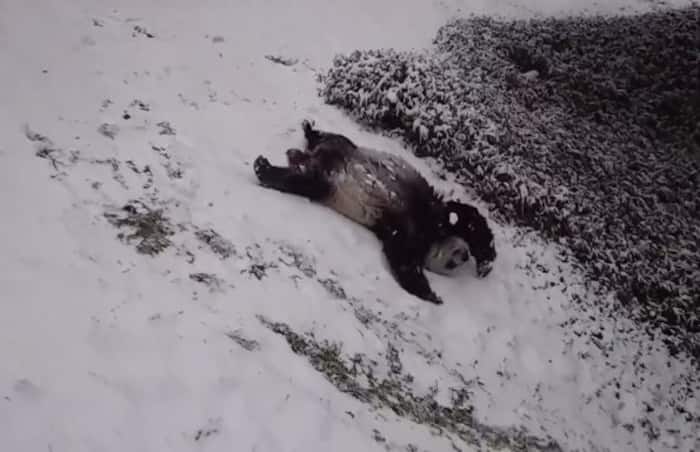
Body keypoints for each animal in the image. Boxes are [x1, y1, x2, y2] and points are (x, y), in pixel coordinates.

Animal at [253, 119, 496, 304]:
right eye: (453, 262)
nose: (464, 257)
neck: (431, 238)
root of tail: (310, 156)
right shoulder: (427, 217)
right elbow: (468, 219)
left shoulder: (396, 229)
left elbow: (401, 254)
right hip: (345, 150)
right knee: (328, 142)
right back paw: (297, 139)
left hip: (326, 181)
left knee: (304, 180)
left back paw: (269, 166)